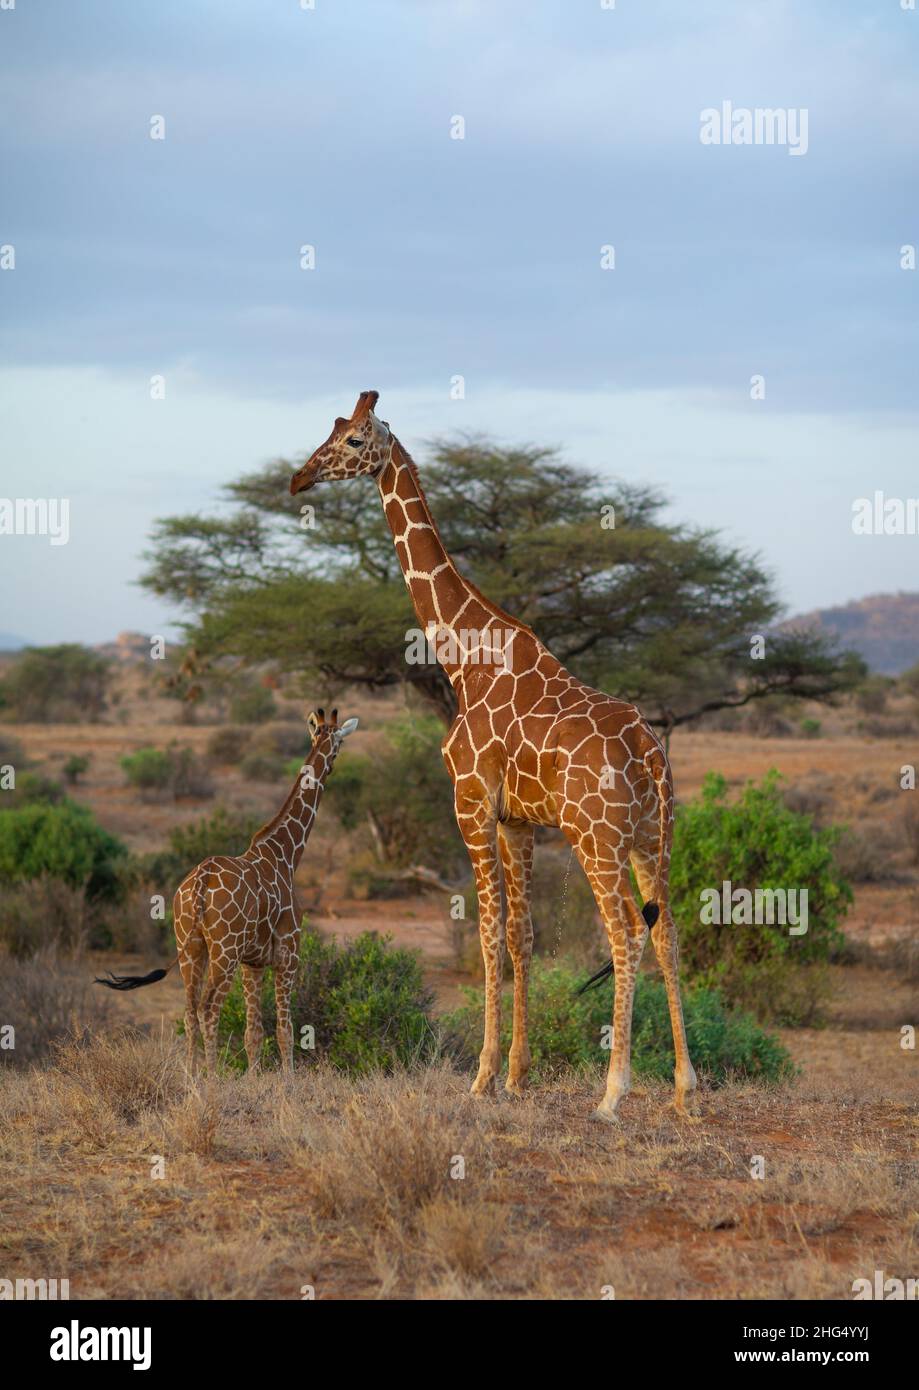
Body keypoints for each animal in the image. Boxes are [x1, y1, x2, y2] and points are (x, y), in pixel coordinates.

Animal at [96, 708, 359, 1077]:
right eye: (340, 742)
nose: (333, 764)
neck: (287, 854)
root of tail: (199, 884)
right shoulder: (288, 954)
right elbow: (285, 1029)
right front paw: (288, 1082)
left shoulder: (254, 962)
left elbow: (253, 1032)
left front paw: (254, 1079)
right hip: (224, 949)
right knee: (208, 1008)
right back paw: (211, 1079)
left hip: (190, 945)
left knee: (189, 1010)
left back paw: (192, 1077)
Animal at [290, 392, 697, 1121]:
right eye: (331, 429)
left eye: (356, 439)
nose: (298, 477)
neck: (464, 658)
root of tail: (649, 753)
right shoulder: (518, 822)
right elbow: (521, 936)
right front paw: (517, 1075)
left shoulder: (471, 805)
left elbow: (484, 934)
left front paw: (480, 1076)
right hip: (653, 836)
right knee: (668, 929)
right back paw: (684, 1089)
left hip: (597, 839)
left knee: (625, 932)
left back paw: (612, 1092)